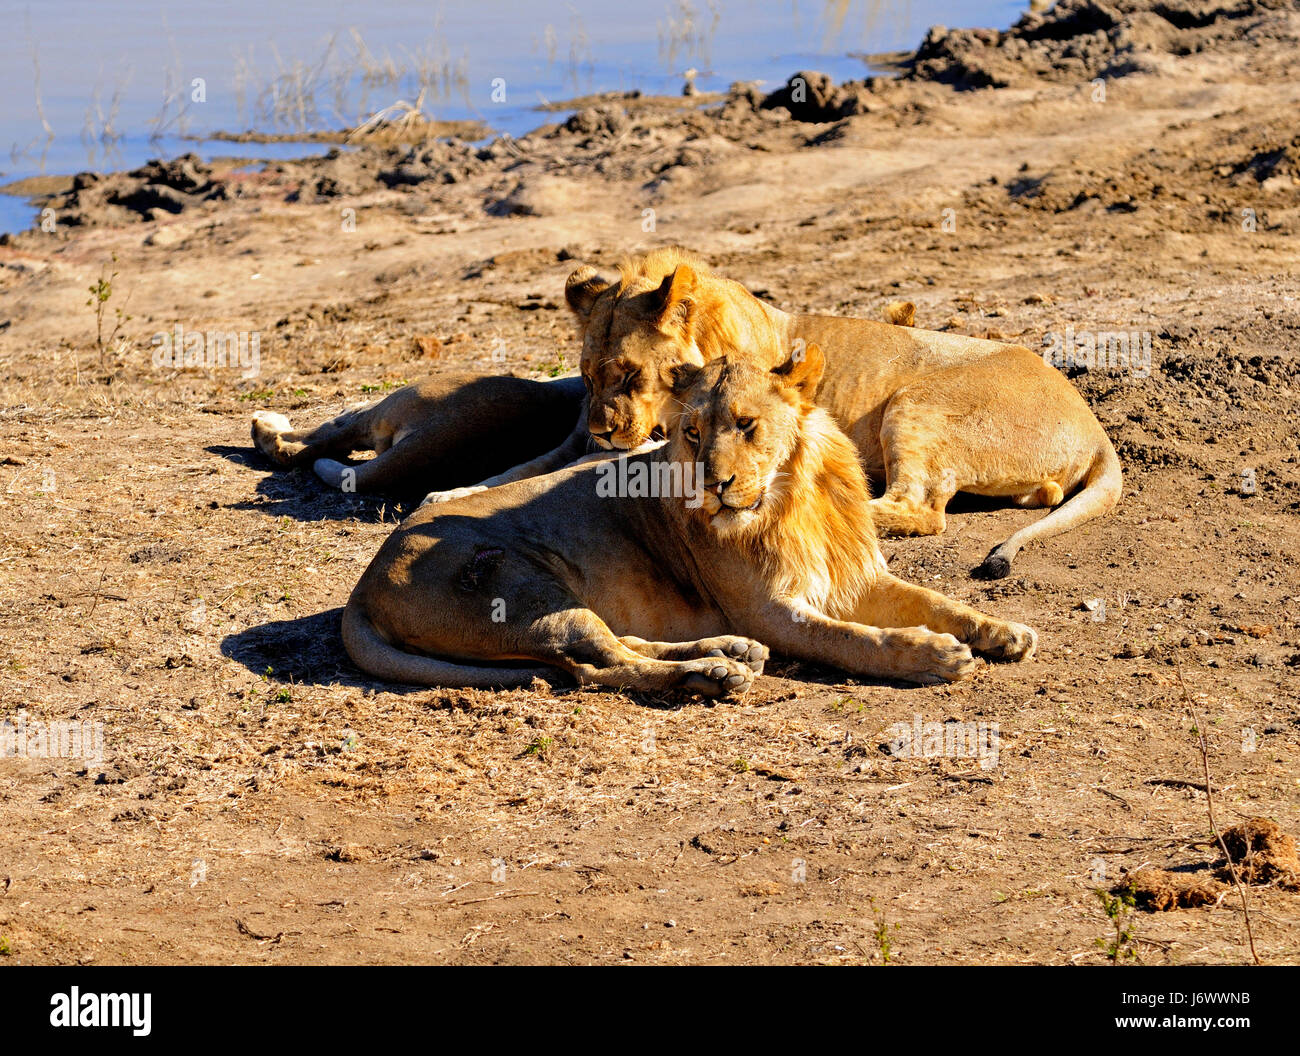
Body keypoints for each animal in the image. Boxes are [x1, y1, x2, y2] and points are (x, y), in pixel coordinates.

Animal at [341, 344, 1037, 693]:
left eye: (747, 425)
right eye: (693, 433)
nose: (714, 484)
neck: (793, 499)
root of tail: (362, 587)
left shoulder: (853, 576)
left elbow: (937, 600)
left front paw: (1003, 631)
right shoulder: (769, 609)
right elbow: (857, 640)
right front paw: (931, 654)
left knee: (616, 644)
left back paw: (728, 653)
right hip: (525, 586)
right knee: (598, 666)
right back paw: (715, 673)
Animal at [427, 248, 1121, 579]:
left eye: (628, 374)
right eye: (589, 374)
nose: (603, 427)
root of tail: (1095, 428)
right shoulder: (584, 442)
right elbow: (517, 470)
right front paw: (447, 493)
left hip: (914, 402)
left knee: (919, 510)